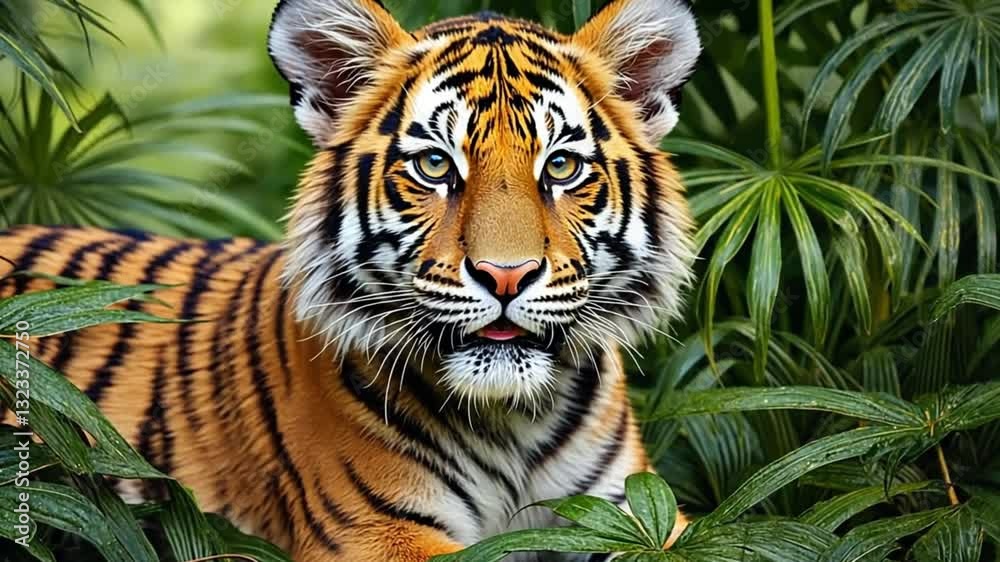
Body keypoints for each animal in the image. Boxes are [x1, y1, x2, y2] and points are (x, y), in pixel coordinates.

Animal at [0, 0, 700, 560]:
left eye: (560, 166)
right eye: (433, 165)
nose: (507, 276)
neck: (511, 422)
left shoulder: (632, 512)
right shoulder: (375, 531)